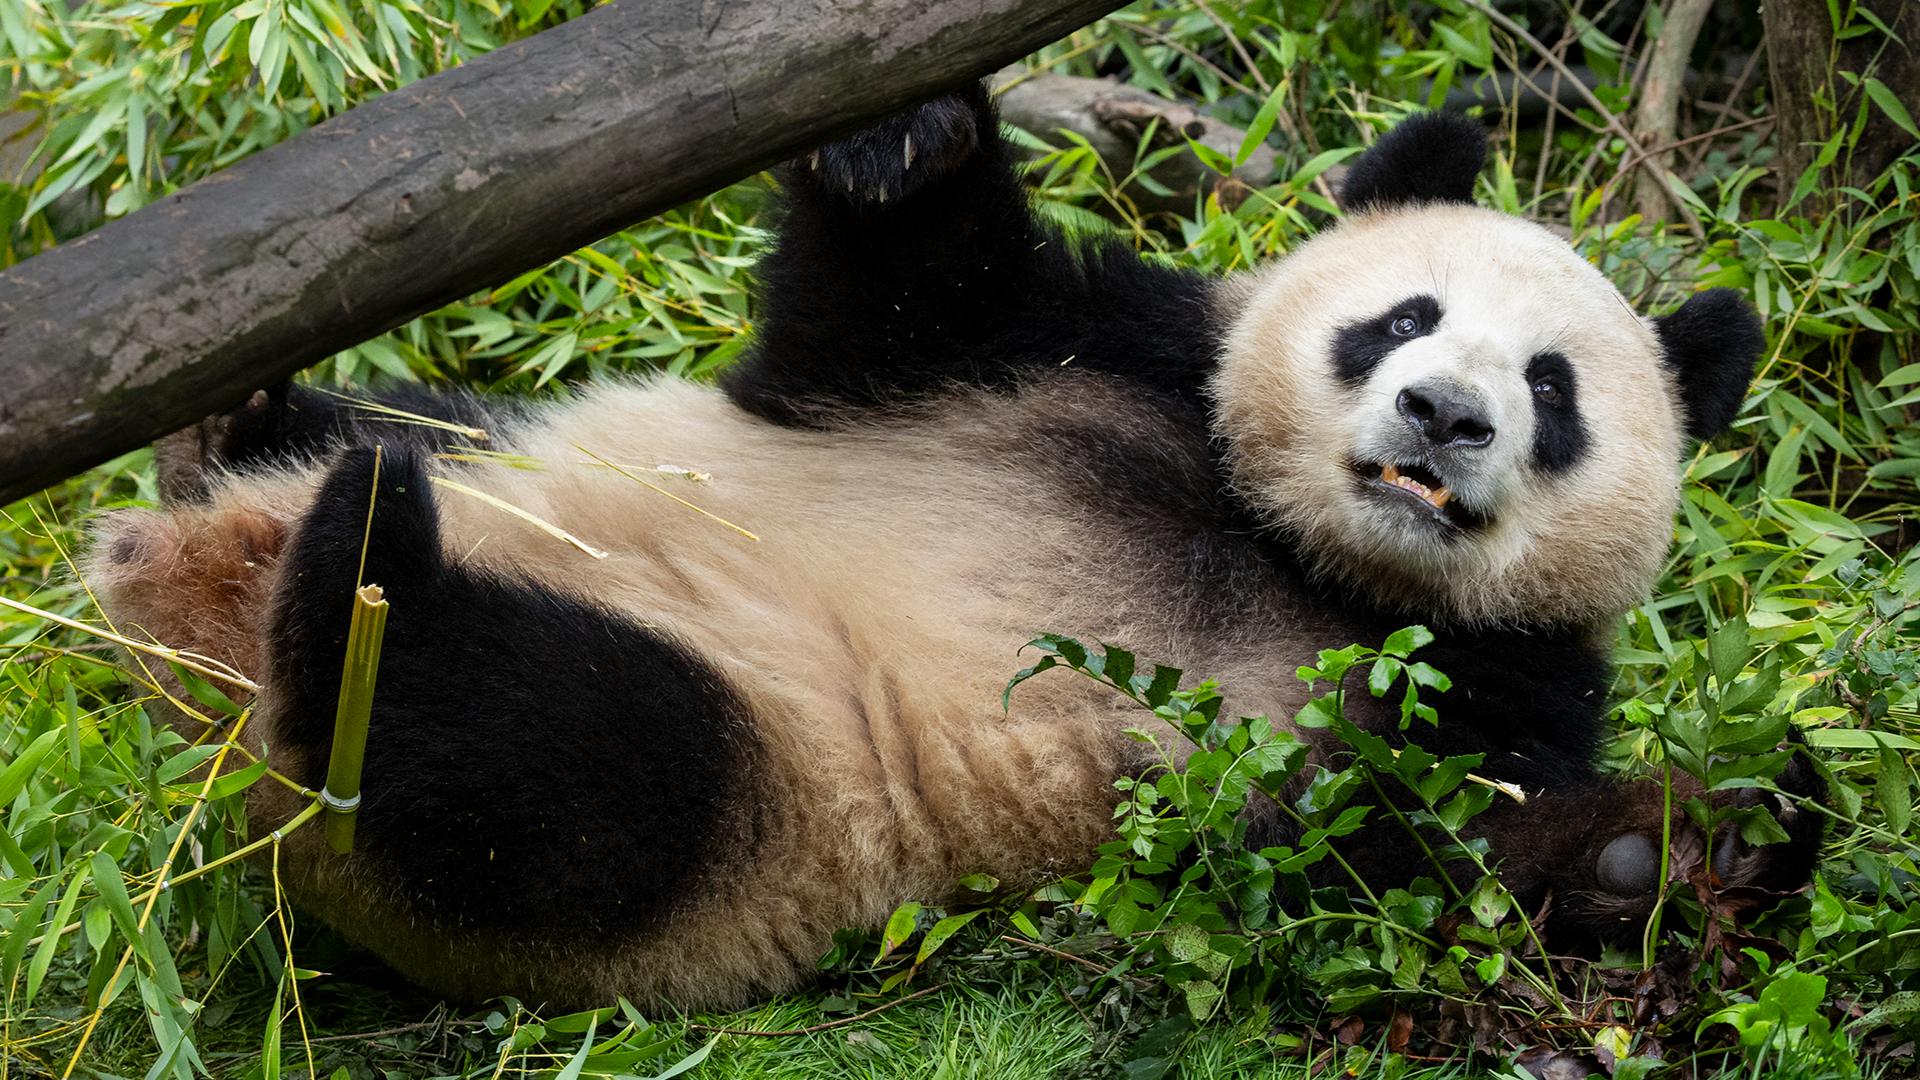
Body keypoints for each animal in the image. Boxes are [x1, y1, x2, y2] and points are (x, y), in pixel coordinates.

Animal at [85, 85, 1823, 1011]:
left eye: (1554, 392)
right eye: (1403, 318)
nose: (1447, 413)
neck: (1293, 549)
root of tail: (192, 624)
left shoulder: (1479, 683)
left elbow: (1370, 866)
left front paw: (1675, 852)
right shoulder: (1087, 352)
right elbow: (884, 311)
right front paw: (906, 138)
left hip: (754, 806)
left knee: (544, 765)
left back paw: (358, 593)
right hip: (503, 451)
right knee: (402, 450)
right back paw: (245, 432)